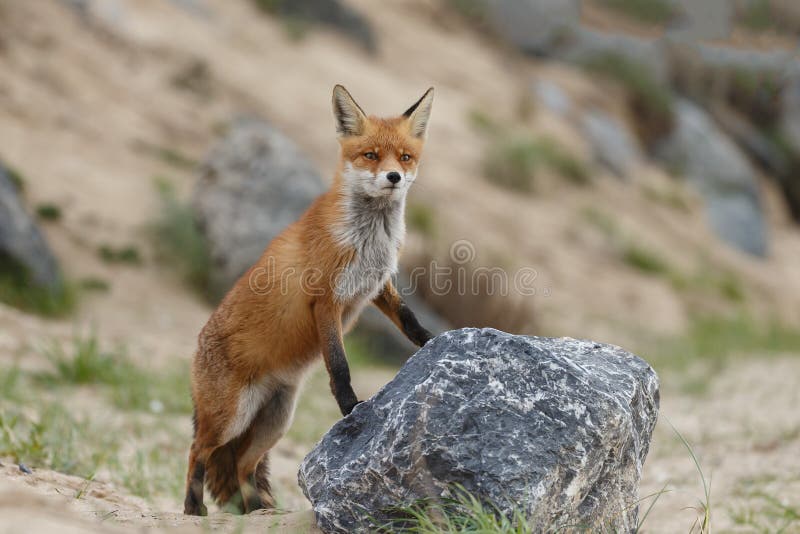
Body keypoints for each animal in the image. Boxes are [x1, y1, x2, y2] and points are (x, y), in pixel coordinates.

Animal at [183, 85, 436, 516]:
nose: (394, 177)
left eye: (405, 157)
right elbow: (339, 364)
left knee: (244, 464)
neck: (370, 239)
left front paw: (434, 342)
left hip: (276, 420)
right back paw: (192, 509)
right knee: (197, 450)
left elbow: (410, 320)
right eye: (371, 155)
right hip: (231, 418)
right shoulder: (326, 301)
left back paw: (260, 512)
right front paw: (351, 409)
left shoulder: (375, 285)